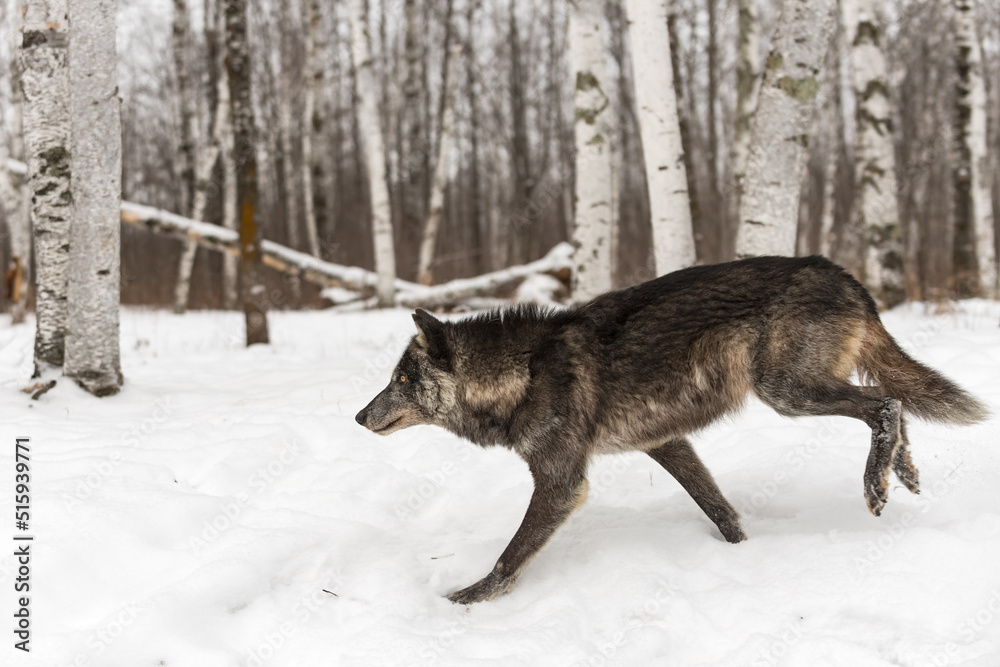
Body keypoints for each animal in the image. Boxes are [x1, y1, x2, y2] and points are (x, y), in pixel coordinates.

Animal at [355, 255, 988, 604]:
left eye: (403, 379)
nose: (359, 416)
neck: (523, 372)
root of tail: (840, 271)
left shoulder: (561, 485)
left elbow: (510, 559)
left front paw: (464, 602)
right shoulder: (667, 444)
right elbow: (719, 509)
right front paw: (742, 555)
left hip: (787, 393)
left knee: (885, 405)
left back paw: (877, 483)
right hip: (798, 391)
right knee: (896, 405)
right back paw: (903, 470)